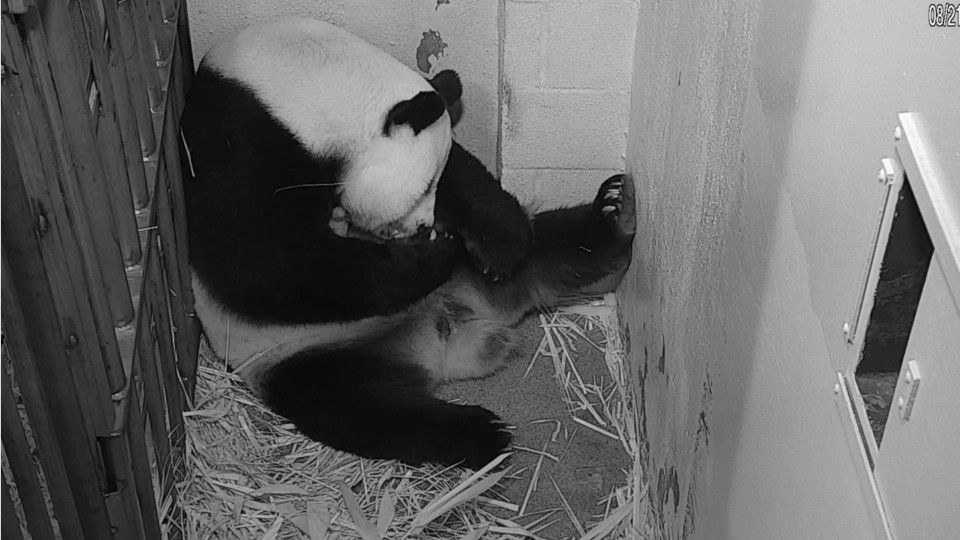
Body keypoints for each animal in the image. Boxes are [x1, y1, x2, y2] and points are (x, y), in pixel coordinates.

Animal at [180, 18, 636, 470]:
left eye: (432, 183)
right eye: (420, 190)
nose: (423, 229)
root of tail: (442, 335)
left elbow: (468, 179)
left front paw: (500, 247)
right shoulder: (234, 145)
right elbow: (269, 265)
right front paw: (435, 254)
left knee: (561, 248)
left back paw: (615, 214)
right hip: (303, 357)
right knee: (363, 410)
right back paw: (481, 434)